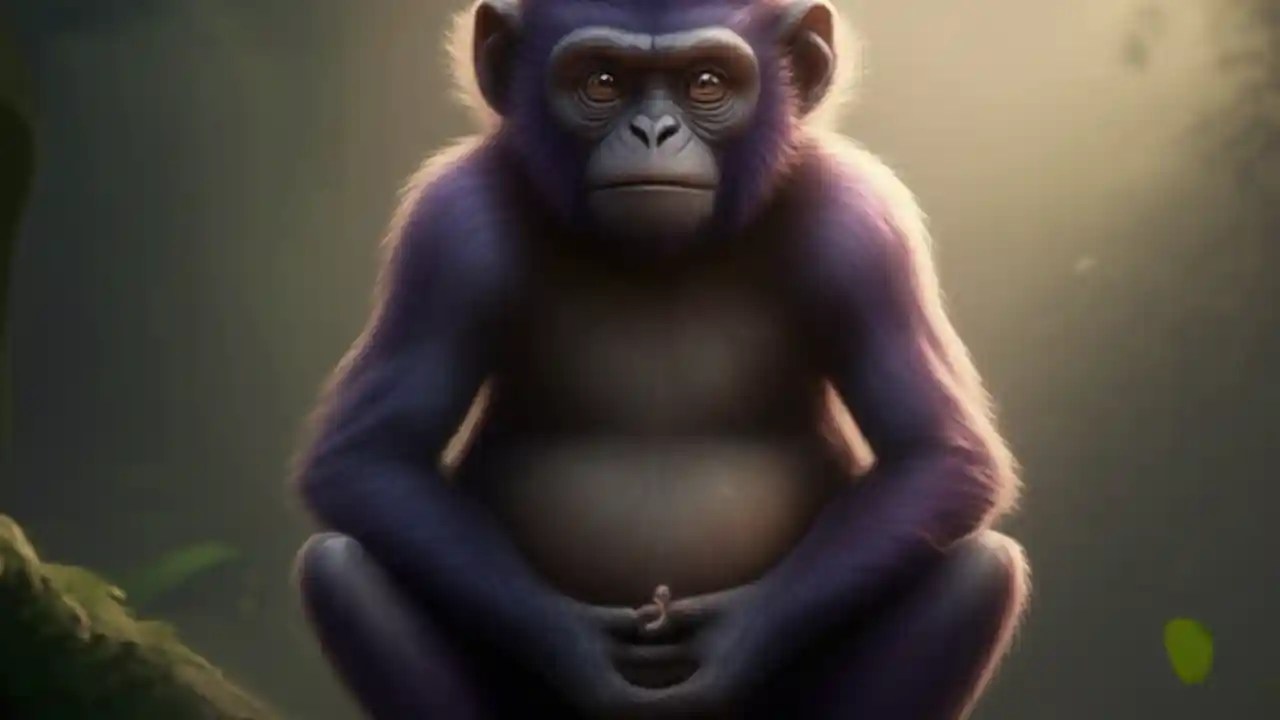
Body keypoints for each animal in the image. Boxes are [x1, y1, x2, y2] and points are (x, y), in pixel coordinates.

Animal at [292, 1, 1029, 718]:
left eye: (706, 82)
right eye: (601, 82)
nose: (653, 131)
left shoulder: (862, 228)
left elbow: (938, 454)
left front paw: (727, 643)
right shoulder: (450, 226)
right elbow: (370, 456)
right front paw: (580, 648)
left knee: (980, 569)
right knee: (341, 566)